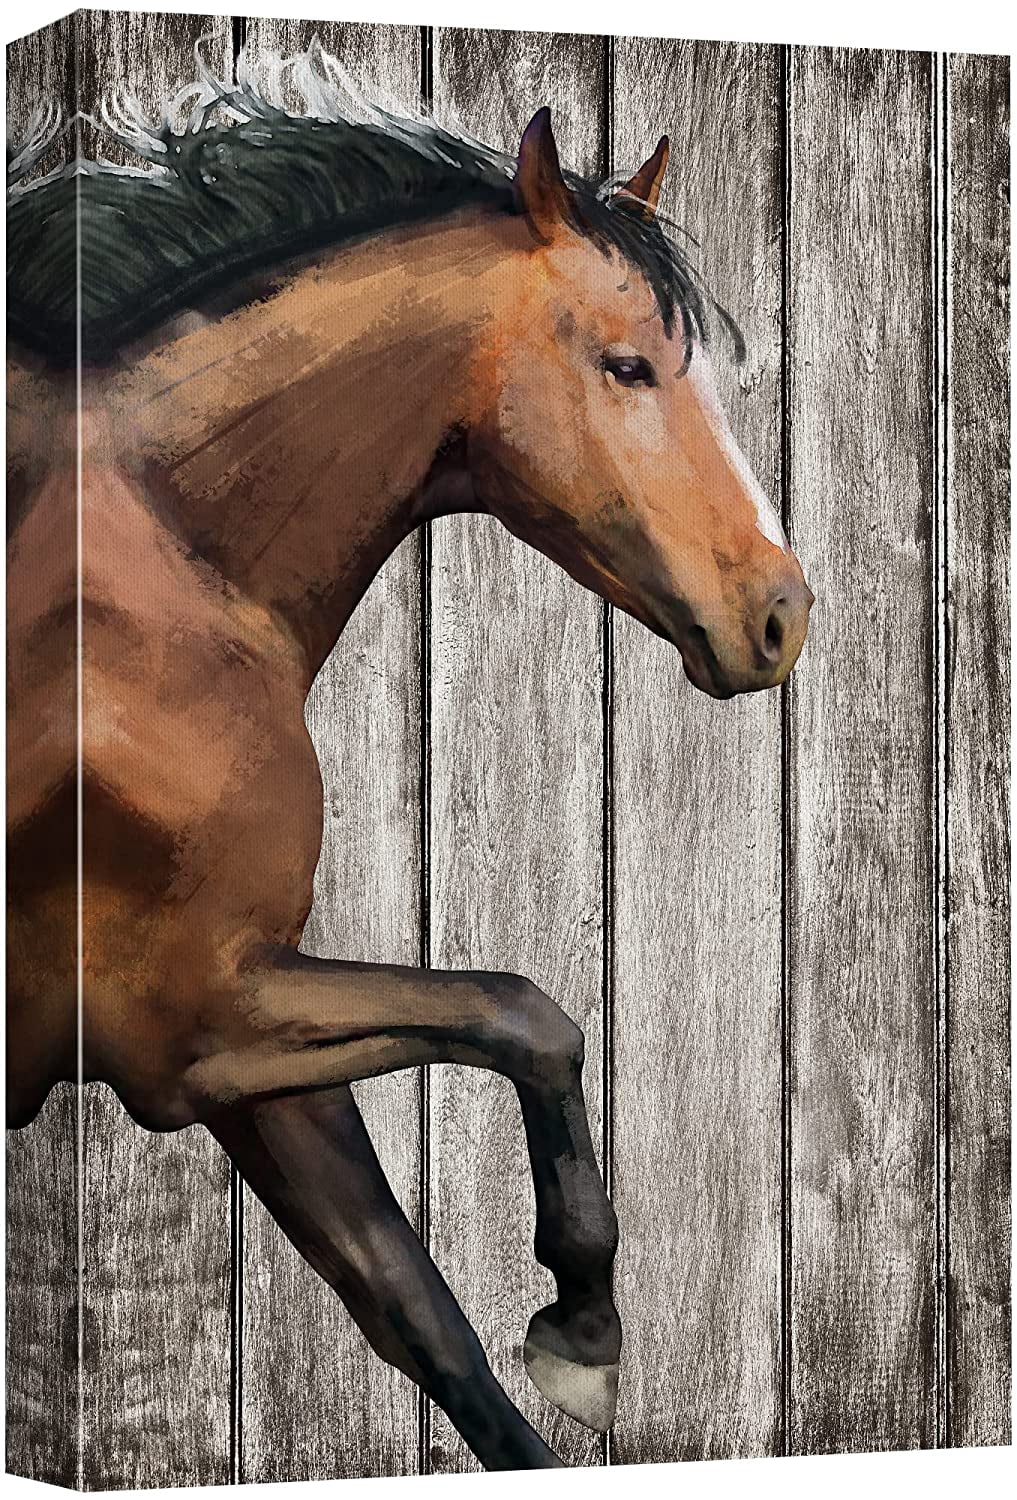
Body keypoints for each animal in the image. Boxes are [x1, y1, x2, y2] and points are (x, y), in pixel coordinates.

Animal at [6, 47, 812, 1472]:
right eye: (628, 364)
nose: (781, 614)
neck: (148, 582)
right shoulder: (179, 1017)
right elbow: (529, 1015)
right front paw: (586, 1334)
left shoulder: (239, 1035)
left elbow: (422, 1314)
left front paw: (573, 1347)